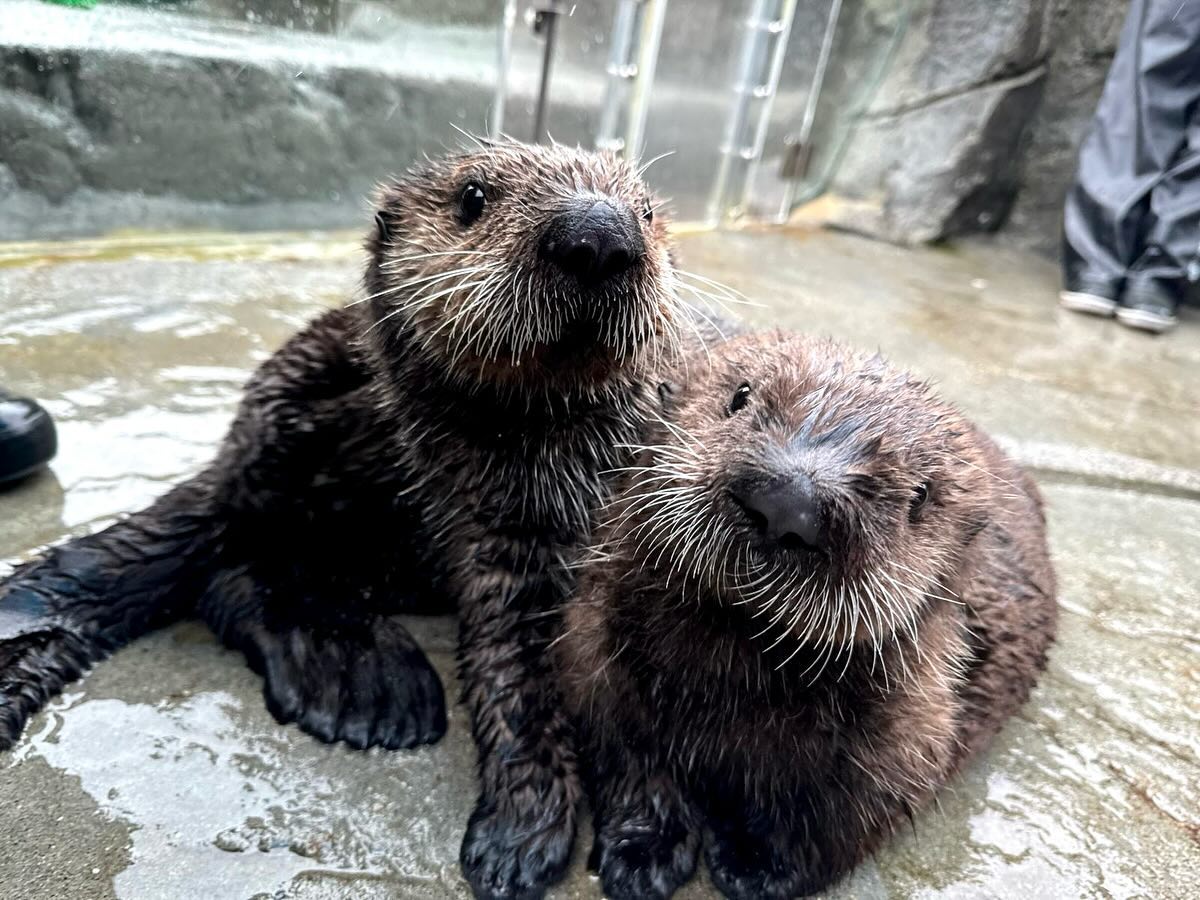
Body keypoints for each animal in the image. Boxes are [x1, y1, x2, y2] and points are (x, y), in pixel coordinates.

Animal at [0, 140, 691, 900]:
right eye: (473, 197)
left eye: (647, 211)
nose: (597, 234)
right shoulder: (506, 539)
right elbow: (517, 680)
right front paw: (520, 837)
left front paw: (598, 835)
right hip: (296, 417)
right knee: (241, 556)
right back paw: (358, 679)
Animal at [557, 331, 1058, 899]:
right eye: (740, 396)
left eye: (920, 495)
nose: (788, 502)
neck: (731, 661)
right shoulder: (597, 661)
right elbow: (632, 763)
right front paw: (641, 854)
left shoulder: (906, 735)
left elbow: (834, 821)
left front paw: (756, 867)